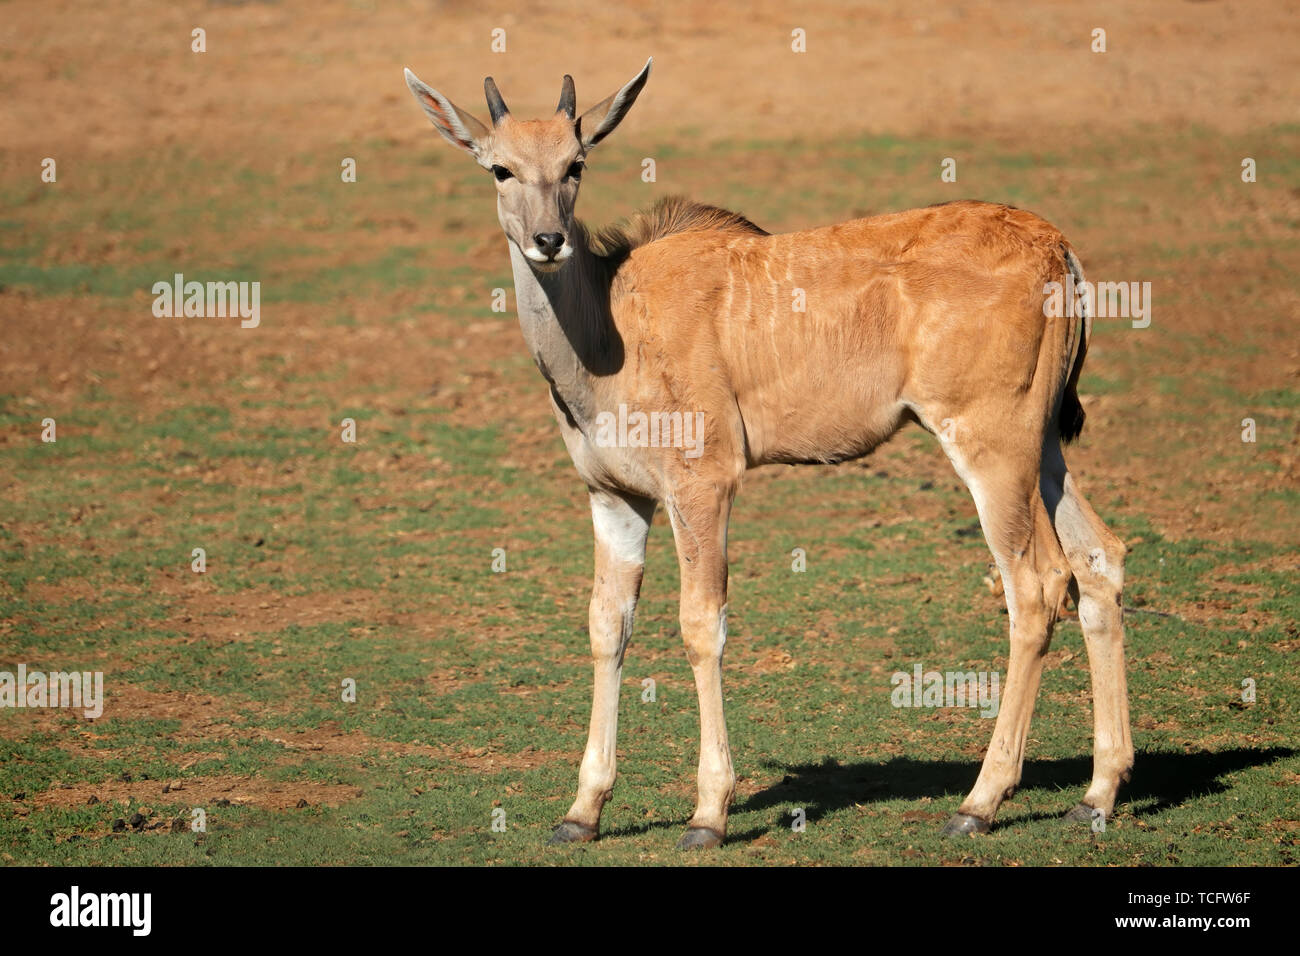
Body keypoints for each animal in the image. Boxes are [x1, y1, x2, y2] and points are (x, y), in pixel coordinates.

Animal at [404, 59, 1133, 848]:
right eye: (500, 168)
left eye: (576, 164)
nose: (547, 239)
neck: (609, 326)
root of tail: (1057, 249)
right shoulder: (615, 497)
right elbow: (607, 624)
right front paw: (582, 811)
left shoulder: (704, 483)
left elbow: (701, 624)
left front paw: (708, 813)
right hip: (1043, 449)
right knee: (1098, 561)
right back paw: (1097, 792)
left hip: (990, 445)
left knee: (1035, 588)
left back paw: (979, 801)